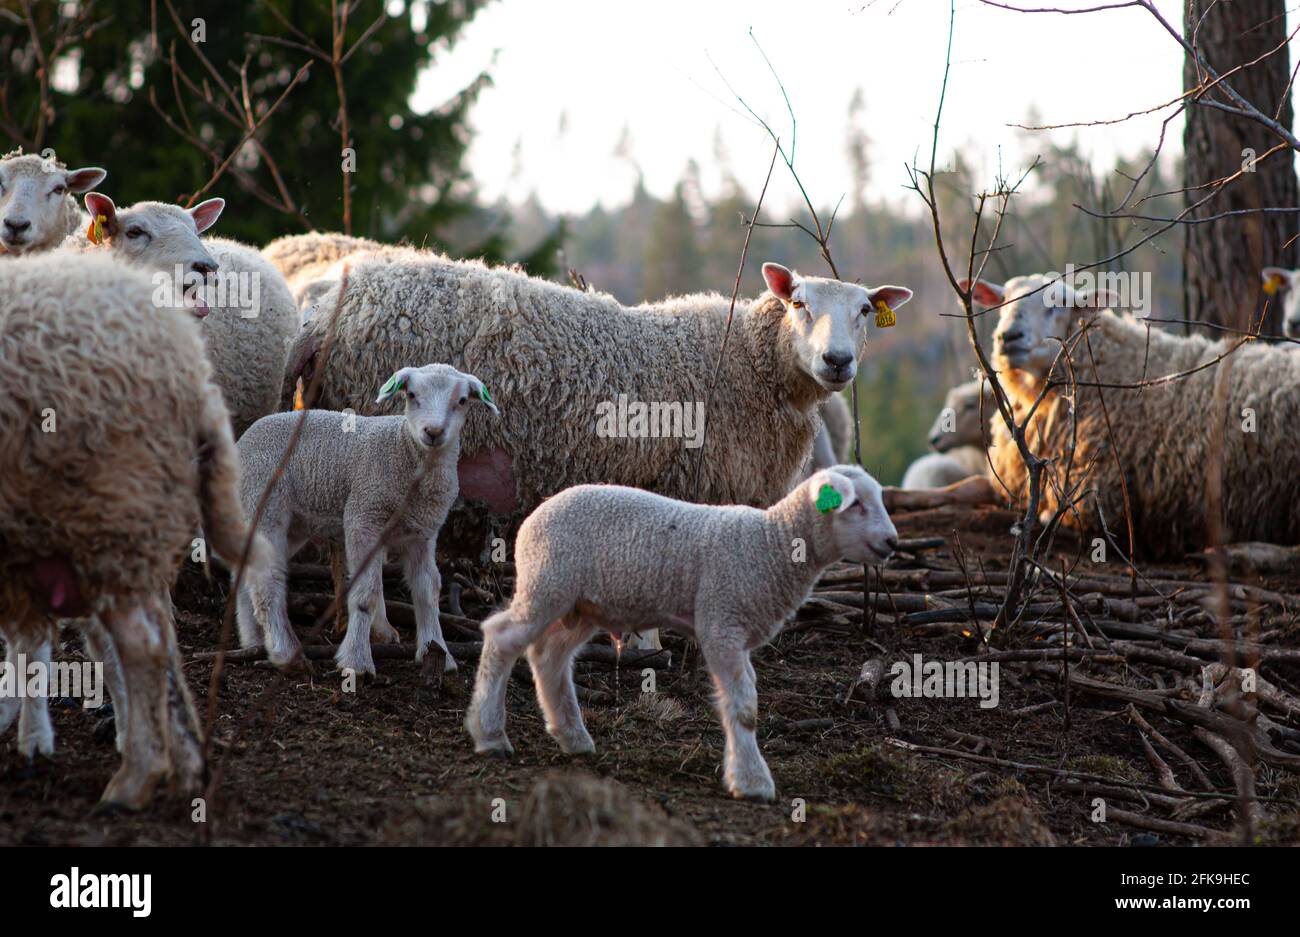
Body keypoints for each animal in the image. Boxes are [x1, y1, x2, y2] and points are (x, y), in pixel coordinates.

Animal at [0, 251, 266, 808]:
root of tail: (191, 372)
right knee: (156, 639)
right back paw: (179, 766)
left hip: (110, 514)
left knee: (142, 643)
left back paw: (136, 777)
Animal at [235, 363, 498, 677]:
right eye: (411, 395)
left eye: (462, 400)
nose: (433, 432)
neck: (404, 450)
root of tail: (245, 438)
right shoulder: (363, 516)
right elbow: (365, 592)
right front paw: (357, 661)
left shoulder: (423, 532)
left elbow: (428, 589)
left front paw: (437, 651)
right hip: (264, 504)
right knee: (267, 581)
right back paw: (285, 653)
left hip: (290, 524)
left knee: (246, 573)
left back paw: (252, 640)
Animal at [284, 252, 912, 541]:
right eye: (799, 303)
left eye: (865, 310)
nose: (837, 361)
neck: (745, 364)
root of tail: (324, 313)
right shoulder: (700, 483)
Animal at [464, 465, 898, 801]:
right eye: (856, 504)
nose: (892, 541)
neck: (770, 544)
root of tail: (536, 513)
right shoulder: (721, 622)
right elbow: (744, 709)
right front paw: (752, 782)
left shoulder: (737, 631)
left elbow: (746, 704)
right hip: (546, 582)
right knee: (501, 637)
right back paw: (490, 735)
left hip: (582, 604)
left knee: (549, 656)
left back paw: (572, 737)